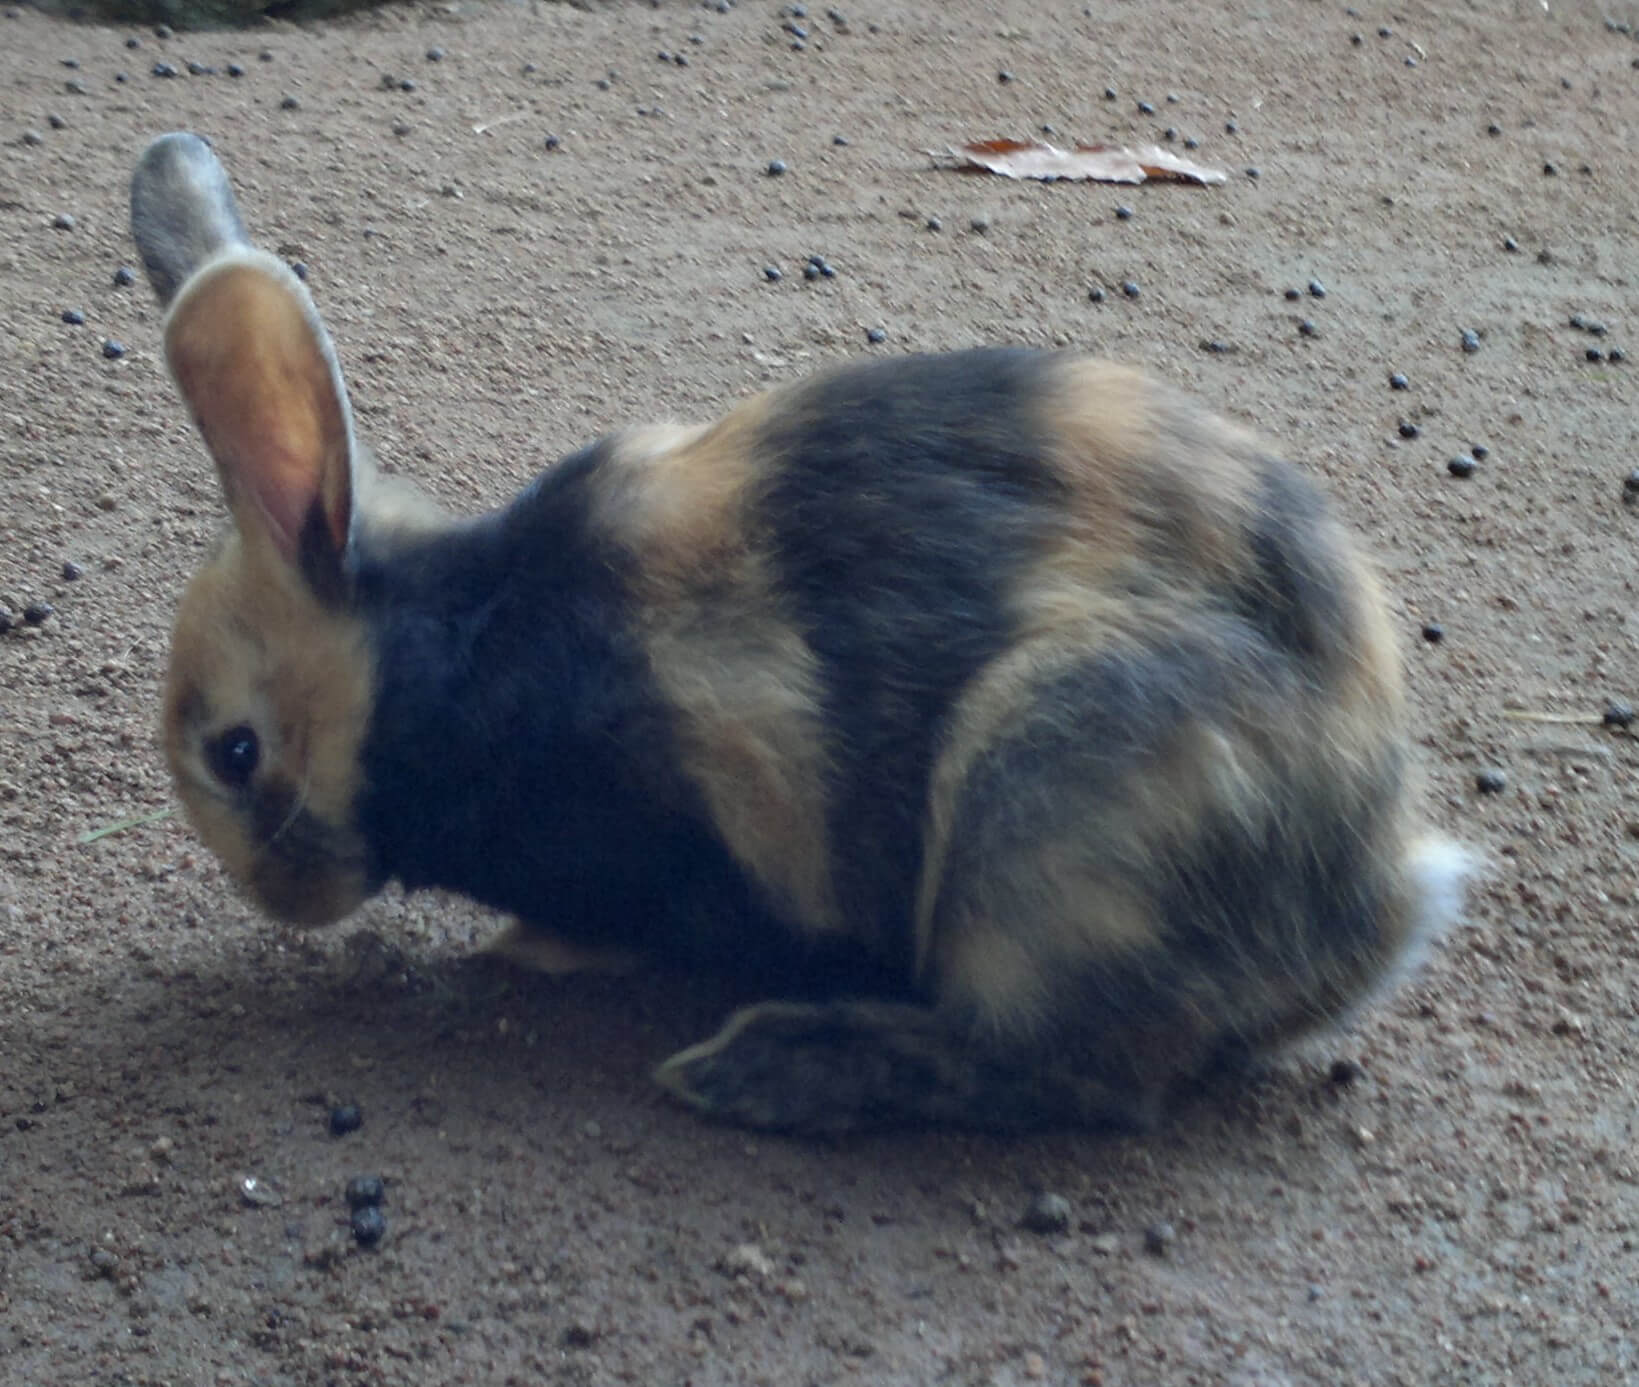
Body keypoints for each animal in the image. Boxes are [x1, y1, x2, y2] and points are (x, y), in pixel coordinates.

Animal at [129, 131, 1469, 1133]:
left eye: (235, 752)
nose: (274, 895)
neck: (452, 661)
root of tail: (1375, 898)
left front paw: (536, 954)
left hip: (1049, 795)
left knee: (1066, 1074)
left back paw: (766, 1068)